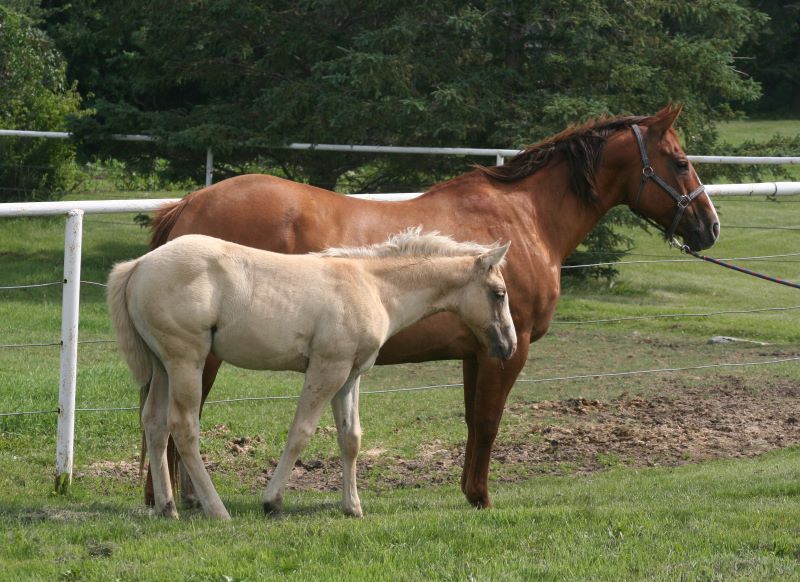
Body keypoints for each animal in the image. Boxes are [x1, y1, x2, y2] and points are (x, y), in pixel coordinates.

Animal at [108, 230, 516, 520]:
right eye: (499, 293)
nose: (509, 345)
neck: (373, 286)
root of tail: (138, 265)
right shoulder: (327, 368)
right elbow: (300, 432)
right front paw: (272, 500)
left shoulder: (350, 376)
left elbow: (350, 438)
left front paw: (352, 507)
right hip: (186, 361)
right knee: (183, 426)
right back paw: (217, 510)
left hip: (162, 366)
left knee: (155, 424)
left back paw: (168, 507)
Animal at [145, 104, 719, 510]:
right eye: (682, 162)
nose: (709, 227)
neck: (523, 218)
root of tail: (189, 204)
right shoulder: (508, 351)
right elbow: (488, 420)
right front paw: (481, 497)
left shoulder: (478, 350)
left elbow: (472, 420)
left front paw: (469, 489)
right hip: (202, 357)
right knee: (177, 423)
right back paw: (178, 500)